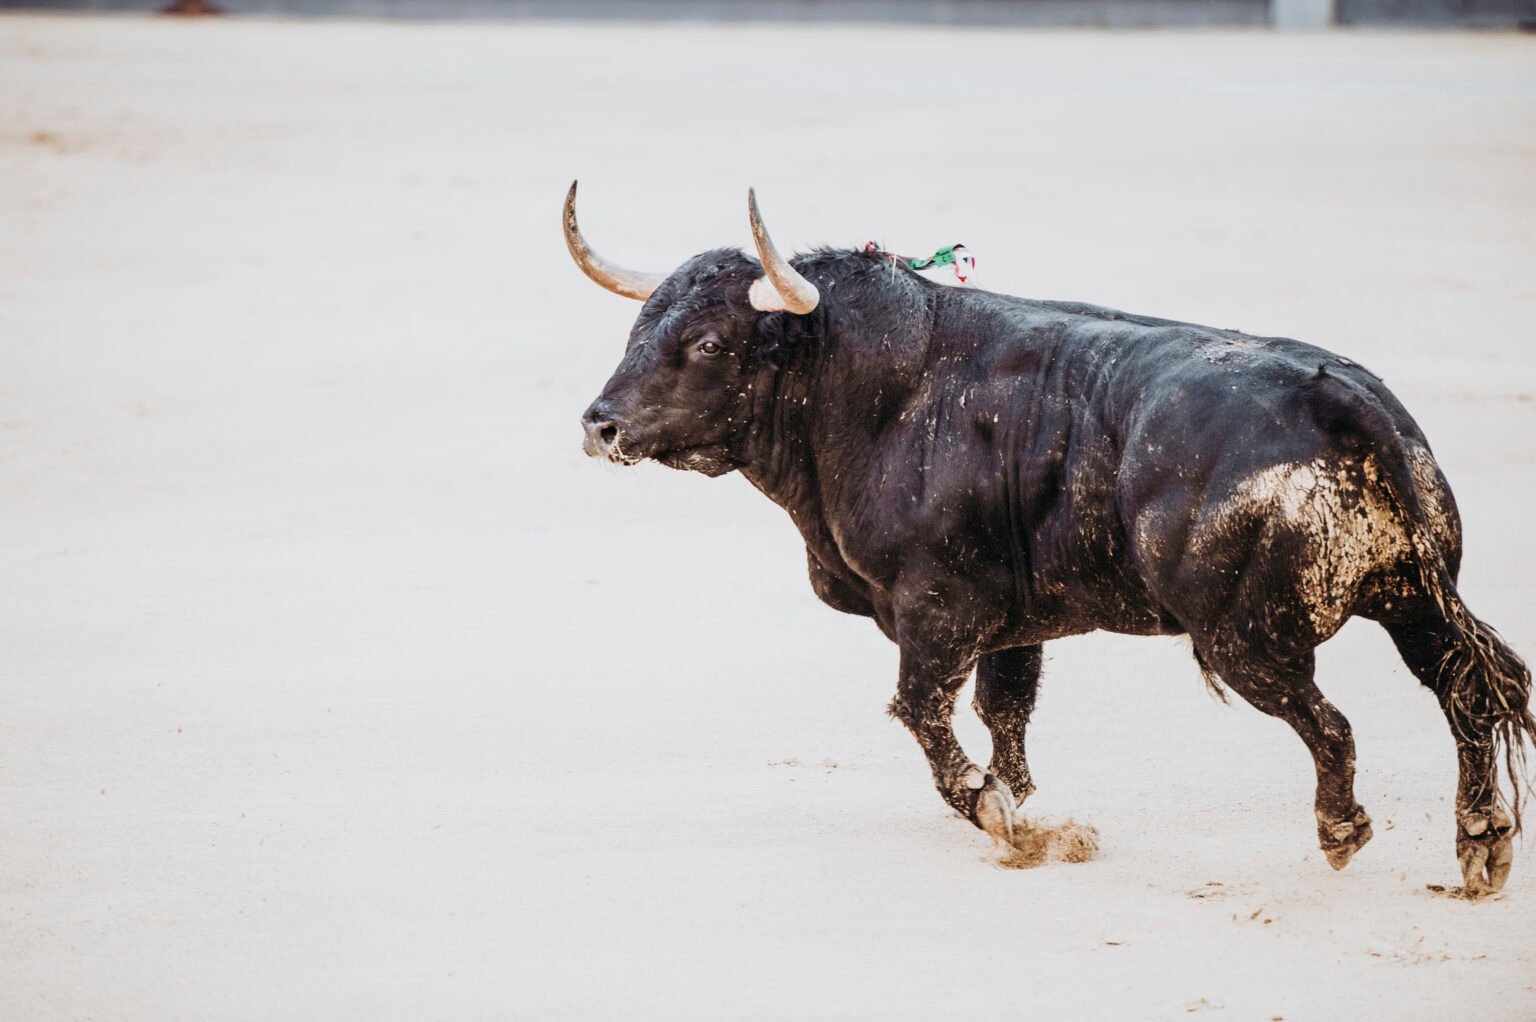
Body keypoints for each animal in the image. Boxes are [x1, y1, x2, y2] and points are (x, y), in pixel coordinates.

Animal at [567, 182, 1534, 896]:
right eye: (638, 328)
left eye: (709, 341)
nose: (601, 425)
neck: (869, 388)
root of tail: (1346, 401)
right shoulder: (1013, 622)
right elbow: (1007, 712)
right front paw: (1027, 810)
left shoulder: (938, 610)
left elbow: (923, 712)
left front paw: (1001, 818)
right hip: (1410, 598)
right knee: (1463, 689)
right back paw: (1481, 844)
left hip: (1246, 638)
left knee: (1330, 720)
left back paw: (1344, 829)